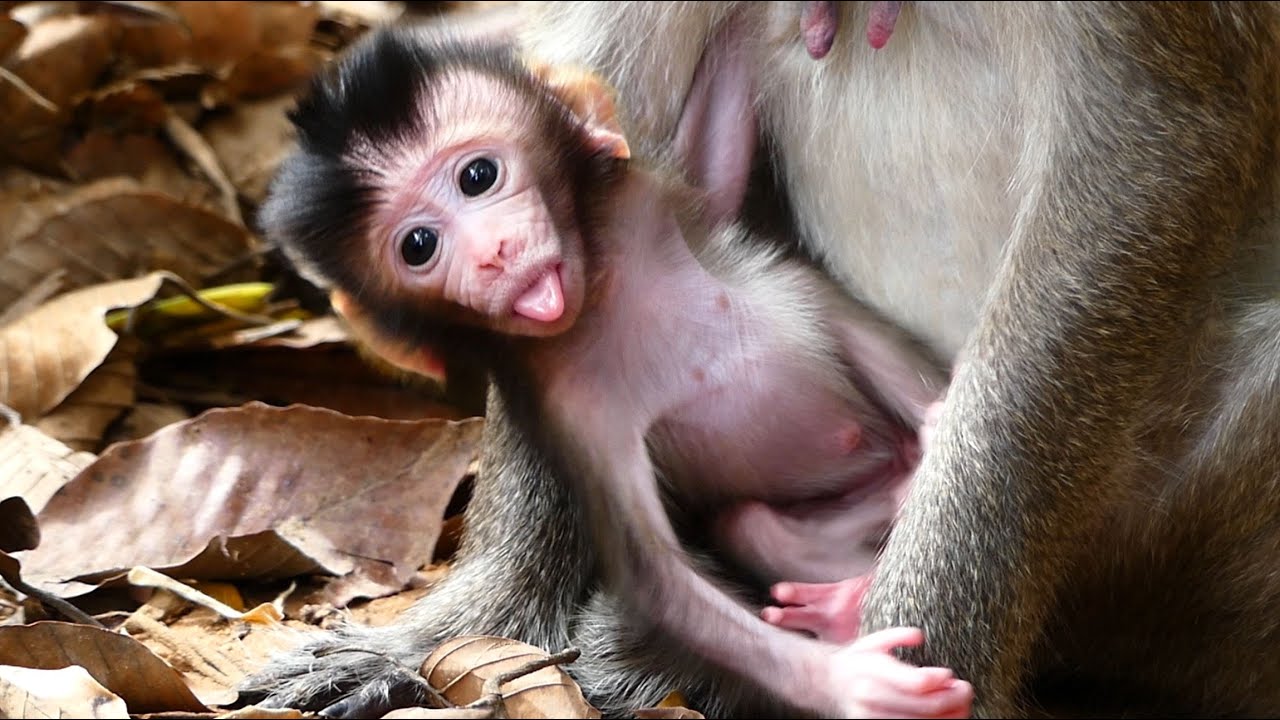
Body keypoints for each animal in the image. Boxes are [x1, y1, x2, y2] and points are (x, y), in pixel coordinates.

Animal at [240, 2, 1280, 718]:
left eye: (479, 176)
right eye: (418, 246)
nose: (496, 254)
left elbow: (1160, 140)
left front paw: (912, 664)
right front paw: (472, 621)